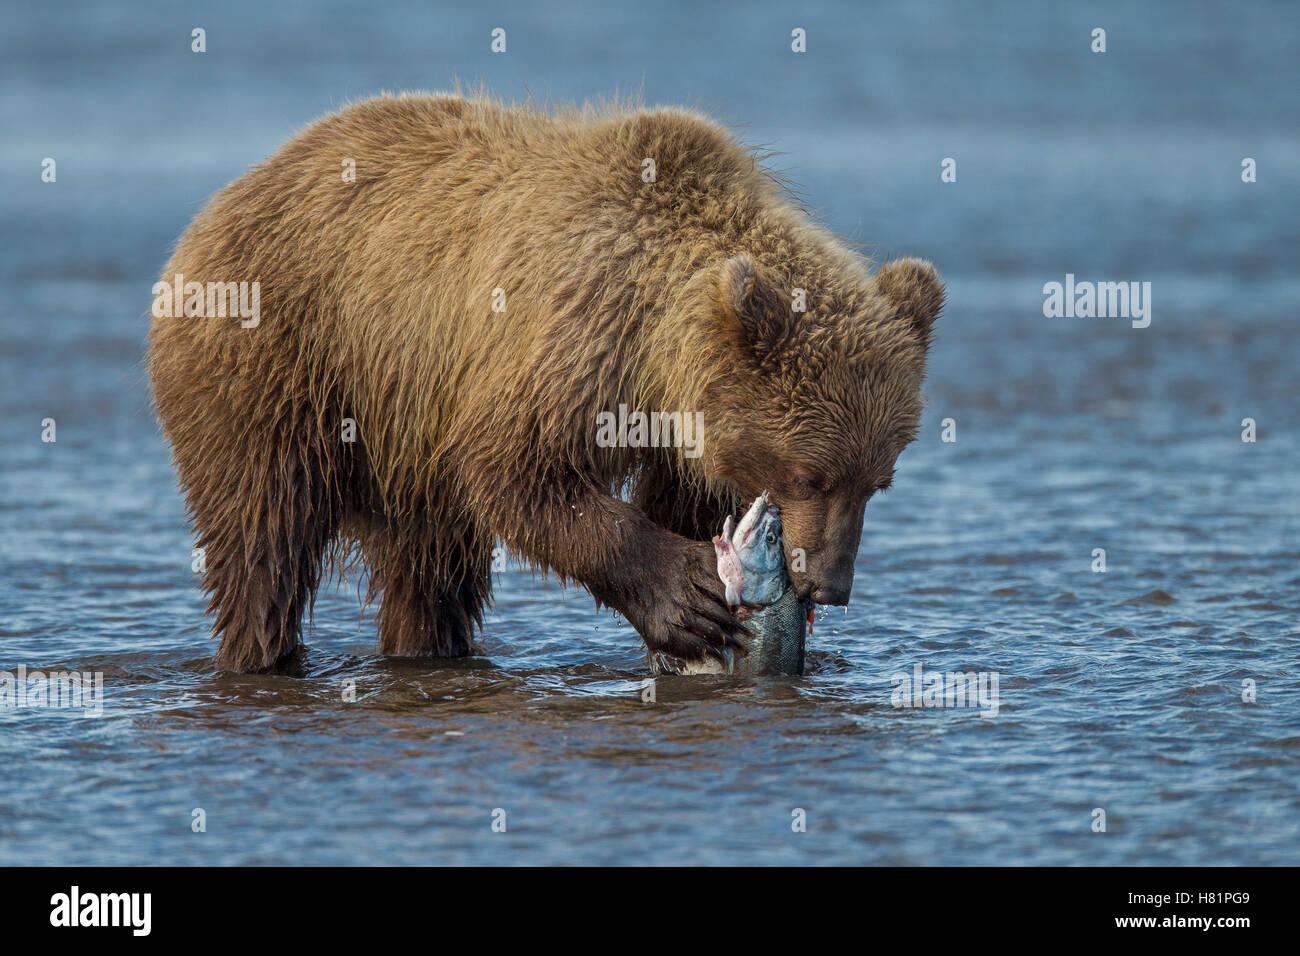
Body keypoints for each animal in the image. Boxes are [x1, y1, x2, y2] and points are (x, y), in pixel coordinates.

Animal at [147, 92, 942, 674]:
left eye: (878, 481)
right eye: (811, 474)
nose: (829, 587)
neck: (658, 348)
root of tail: (226, 195)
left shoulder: (683, 421)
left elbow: (673, 499)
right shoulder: (580, 334)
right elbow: (515, 468)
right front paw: (685, 598)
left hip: (403, 434)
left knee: (429, 570)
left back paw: (425, 649)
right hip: (279, 360)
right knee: (263, 537)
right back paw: (260, 653)